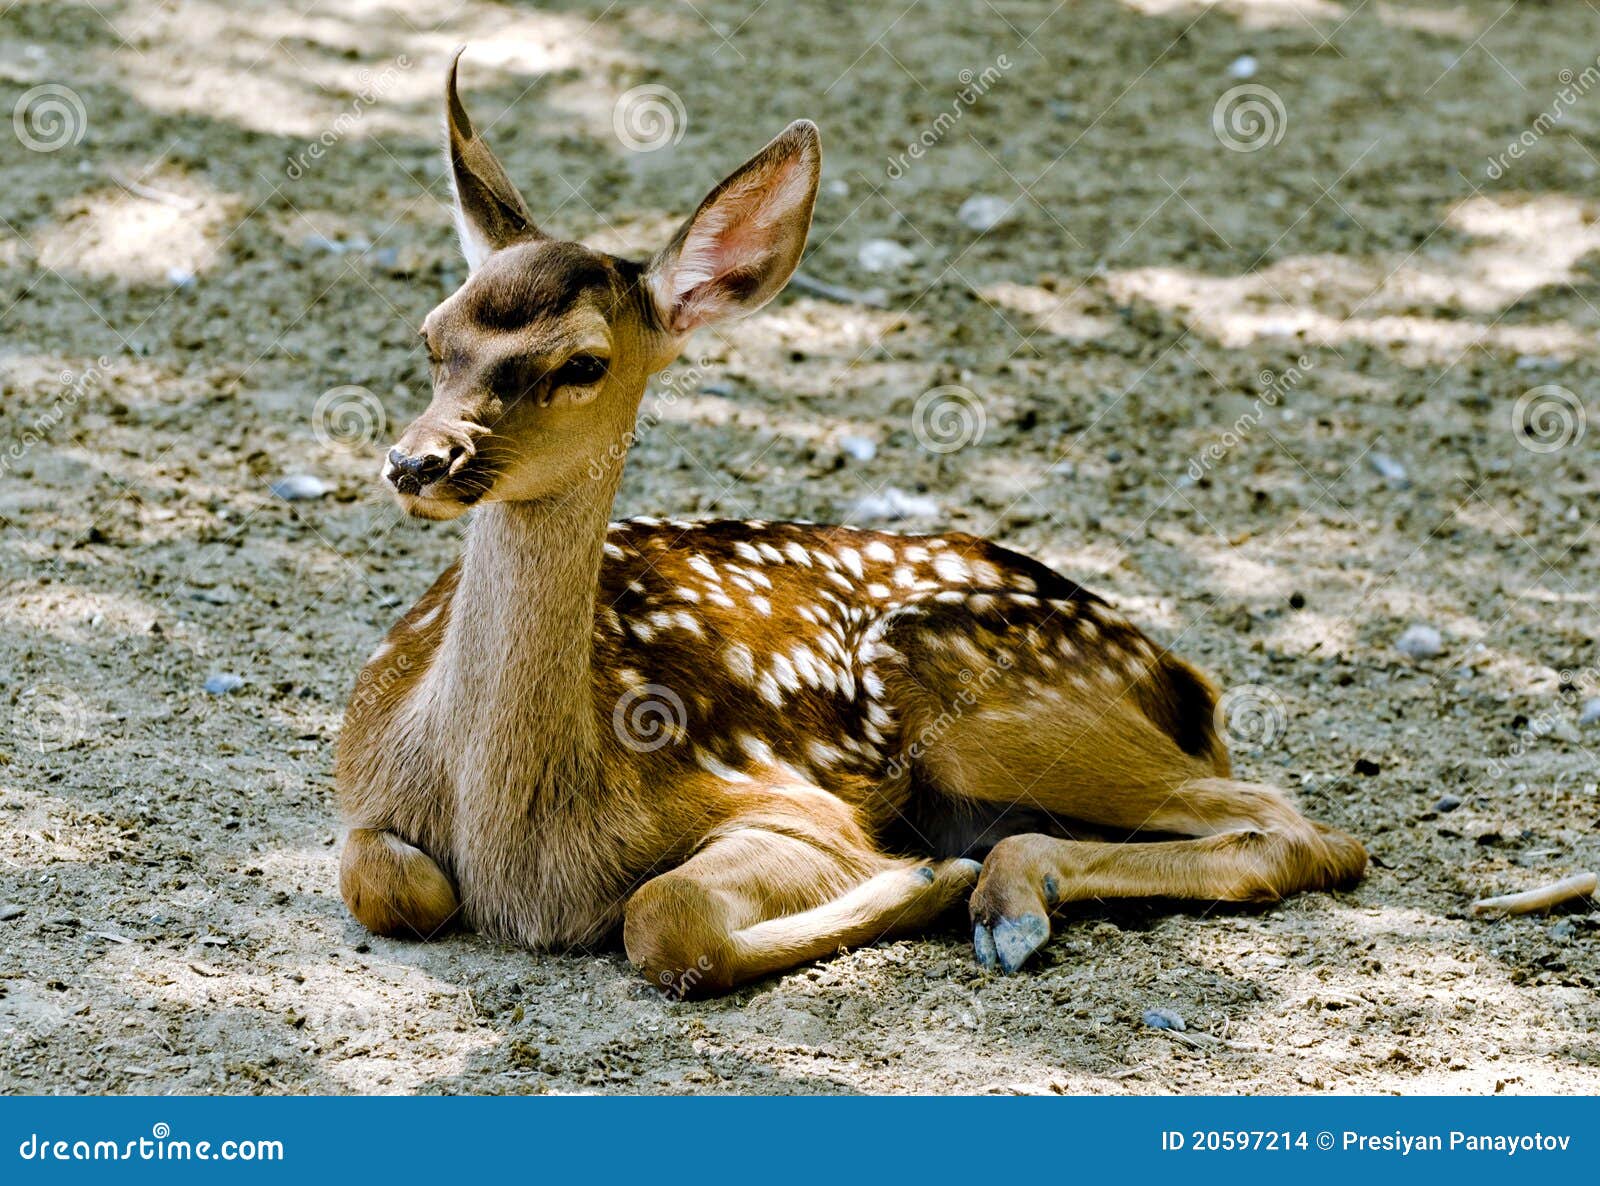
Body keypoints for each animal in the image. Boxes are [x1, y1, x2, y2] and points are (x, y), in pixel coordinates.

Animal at [334, 52, 1367, 998]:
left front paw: (916, 881)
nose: (417, 462)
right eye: (432, 337)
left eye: (583, 364)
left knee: (1308, 830)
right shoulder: (362, 795)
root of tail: (1183, 682)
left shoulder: (786, 800)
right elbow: (383, 882)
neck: (516, 845)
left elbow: (662, 913)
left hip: (991, 692)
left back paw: (997, 898)